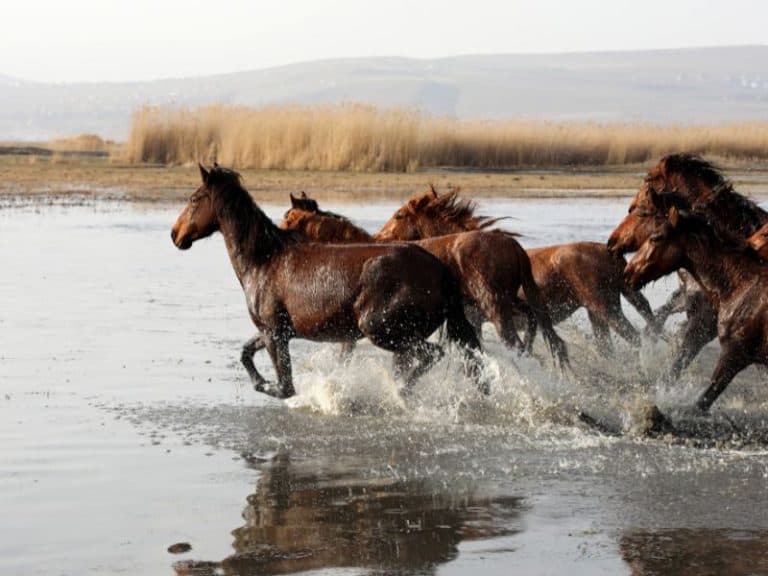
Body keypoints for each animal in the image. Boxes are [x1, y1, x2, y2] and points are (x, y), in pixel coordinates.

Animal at [170, 164, 485, 398]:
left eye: (194, 198)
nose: (176, 234)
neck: (263, 260)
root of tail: (440, 270)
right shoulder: (275, 331)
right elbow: (245, 353)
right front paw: (260, 382)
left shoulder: (274, 333)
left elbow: (285, 388)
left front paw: (270, 386)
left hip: (382, 330)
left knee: (433, 354)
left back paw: (400, 391)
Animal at [280, 189, 570, 368]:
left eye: (399, 215)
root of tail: (513, 246)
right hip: (509, 300)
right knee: (534, 322)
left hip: (495, 305)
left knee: (515, 341)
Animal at [376, 187, 658, 352]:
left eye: (399, 216)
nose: (377, 238)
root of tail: (612, 253)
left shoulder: (475, 321)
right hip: (597, 314)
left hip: (606, 308)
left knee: (634, 339)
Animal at [607, 153, 768, 380]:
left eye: (640, 210)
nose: (611, 242)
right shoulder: (688, 302)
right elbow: (658, 322)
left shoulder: (703, 323)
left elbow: (677, 363)